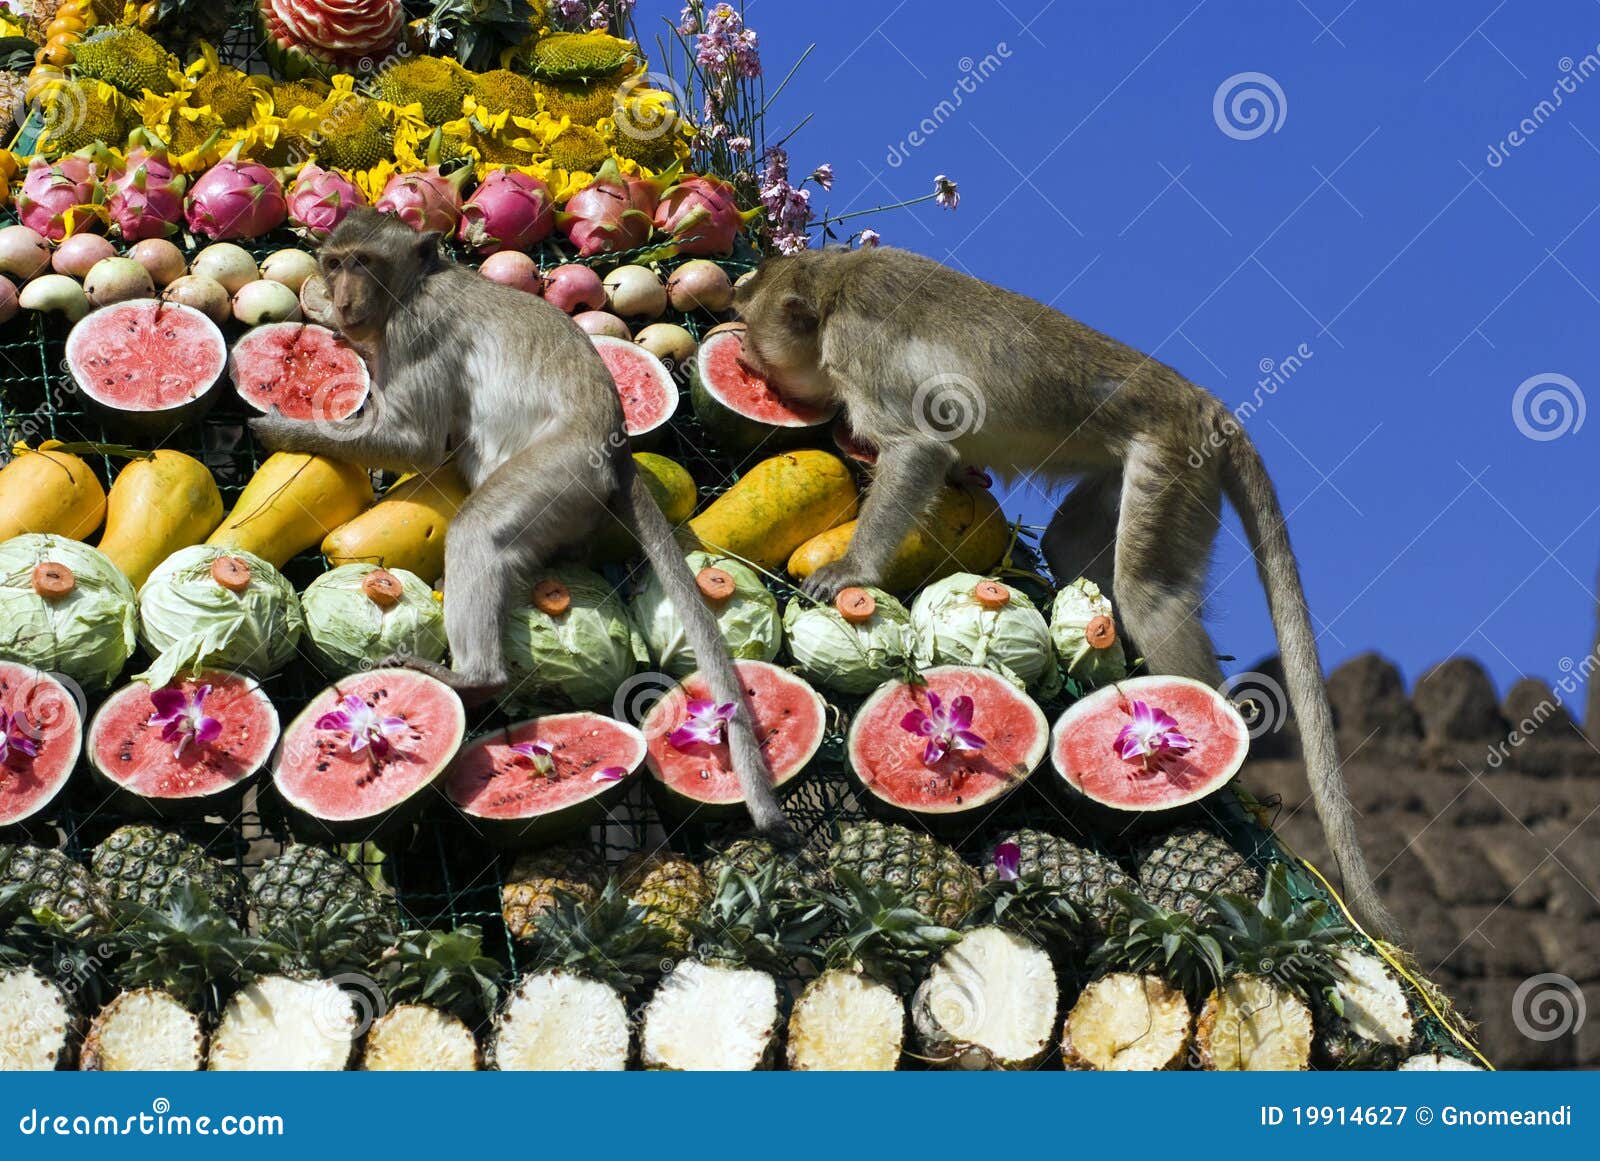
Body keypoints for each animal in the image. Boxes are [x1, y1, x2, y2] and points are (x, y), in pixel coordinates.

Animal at [248, 207, 791, 837]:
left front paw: (279, 428)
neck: (418, 281)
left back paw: (475, 678)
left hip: (559, 473)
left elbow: (414, 444)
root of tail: (618, 449)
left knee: (476, 529)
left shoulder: (417, 328)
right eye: (335, 263)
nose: (343, 296)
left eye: (364, 262)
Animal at [732, 245, 1403, 942]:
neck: (833, 284)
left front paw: (853, 570)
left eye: (752, 334)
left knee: (1149, 596)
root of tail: (1205, 405)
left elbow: (916, 449)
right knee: (1070, 547)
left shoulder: (860, 353)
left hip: (1173, 458)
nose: (747, 359)